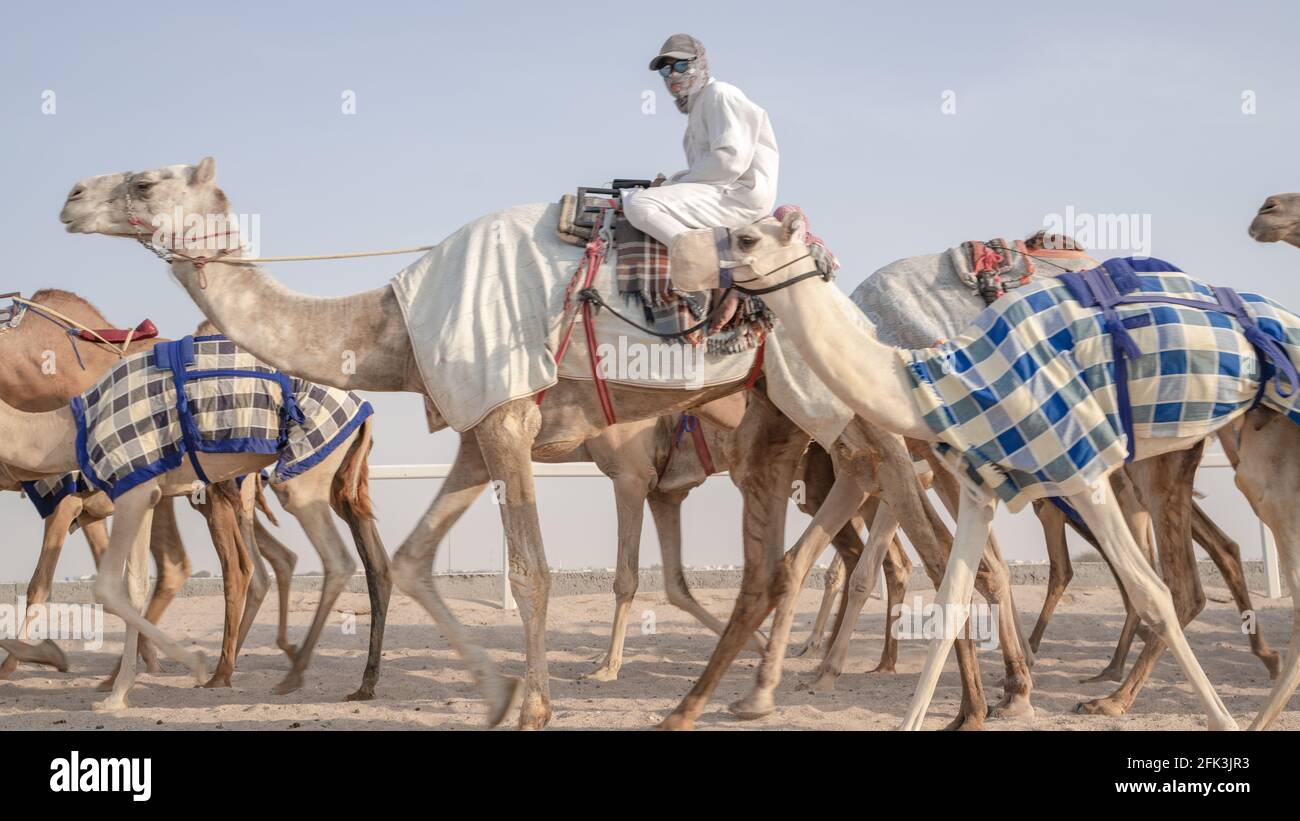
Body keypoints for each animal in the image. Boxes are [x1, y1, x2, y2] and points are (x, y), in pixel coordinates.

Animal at [58, 158, 1034, 729]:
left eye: (144, 182)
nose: (68, 195)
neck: (392, 325)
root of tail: (838, 278)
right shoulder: (475, 428)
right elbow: (414, 558)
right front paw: (496, 697)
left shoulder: (507, 420)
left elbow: (529, 571)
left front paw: (533, 707)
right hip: (781, 415)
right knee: (826, 543)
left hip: (830, 399)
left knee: (920, 524)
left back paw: (967, 703)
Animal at [667, 212, 1300, 731]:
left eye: (746, 238)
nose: (678, 258)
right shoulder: (972, 484)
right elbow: (950, 598)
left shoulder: (1077, 474)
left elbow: (1151, 592)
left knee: (1186, 580)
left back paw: (1122, 696)